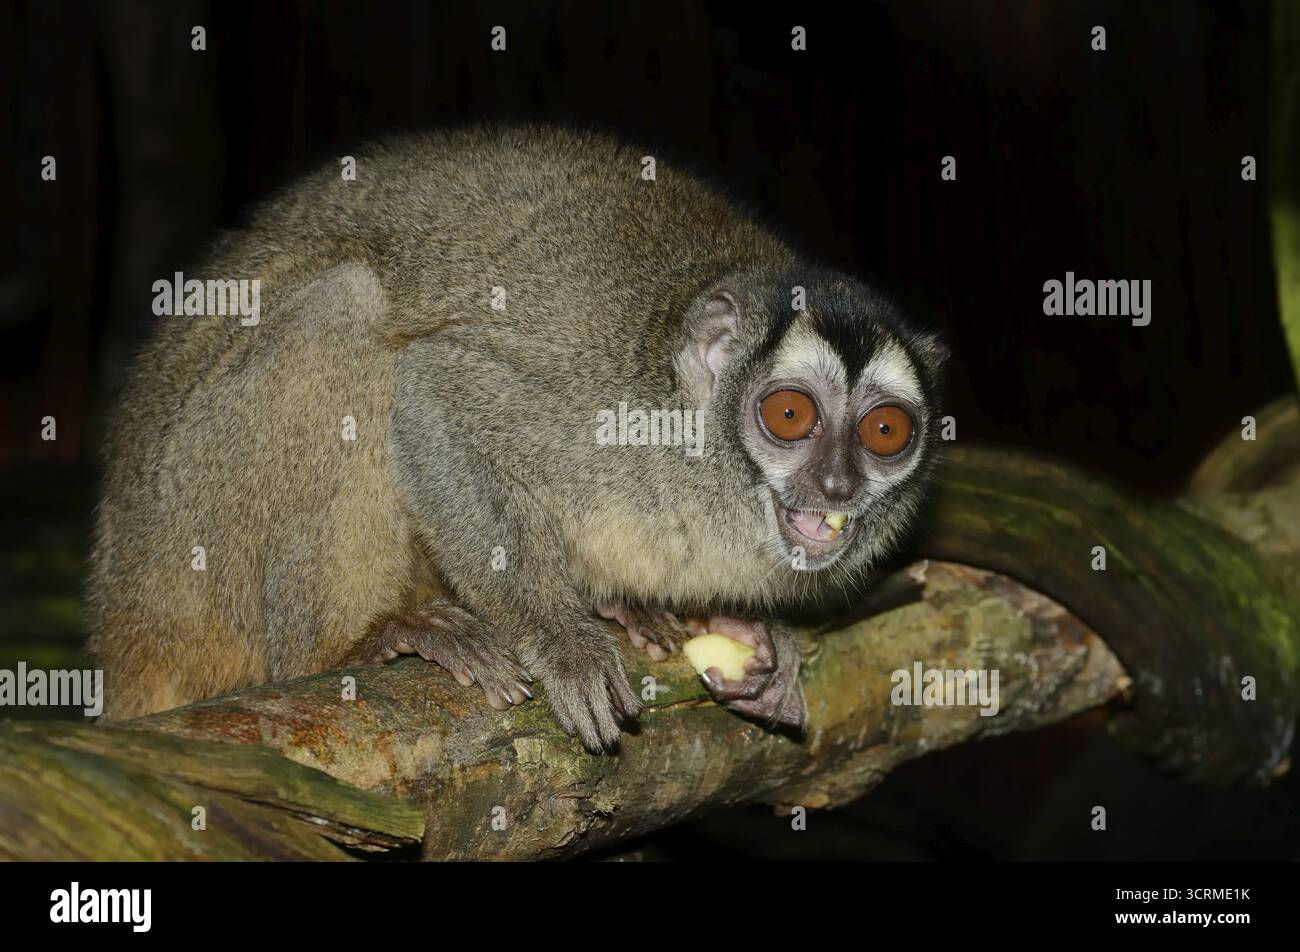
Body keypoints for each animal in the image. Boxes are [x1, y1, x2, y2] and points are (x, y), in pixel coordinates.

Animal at [87, 124, 947, 752]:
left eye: (884, 432)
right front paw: (561, 638)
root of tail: (118, 621)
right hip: (182, 549)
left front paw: (743, 633)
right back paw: (357, 645)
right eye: (791, 417)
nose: (836, 484)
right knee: (345, 308)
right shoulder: (604, 413)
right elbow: (433, 395)